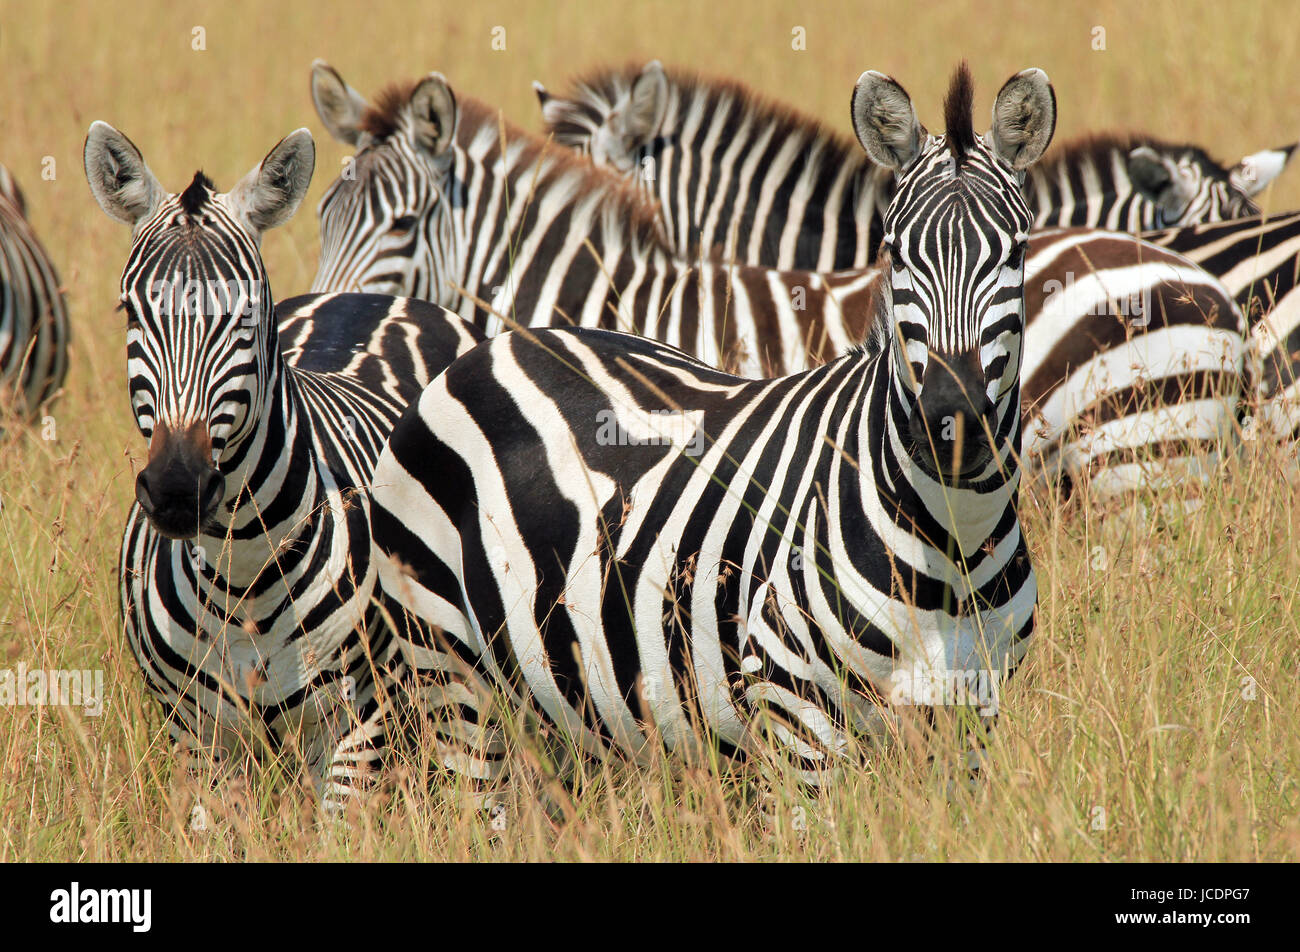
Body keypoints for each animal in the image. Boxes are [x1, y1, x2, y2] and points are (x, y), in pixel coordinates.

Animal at [83, 121, 484, 810]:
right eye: (132, 313)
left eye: (246, 314)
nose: (176, 489)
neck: (240, 573)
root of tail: (374, 297)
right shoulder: (200, 739)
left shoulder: (359, 730)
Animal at [367, 63, 1052, 785]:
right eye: (894, 253)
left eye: (1015, 253)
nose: (952, 425)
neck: (951, 541)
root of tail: (490, 347)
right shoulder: (798, 721)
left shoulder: (971, 726)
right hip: (450, 673)